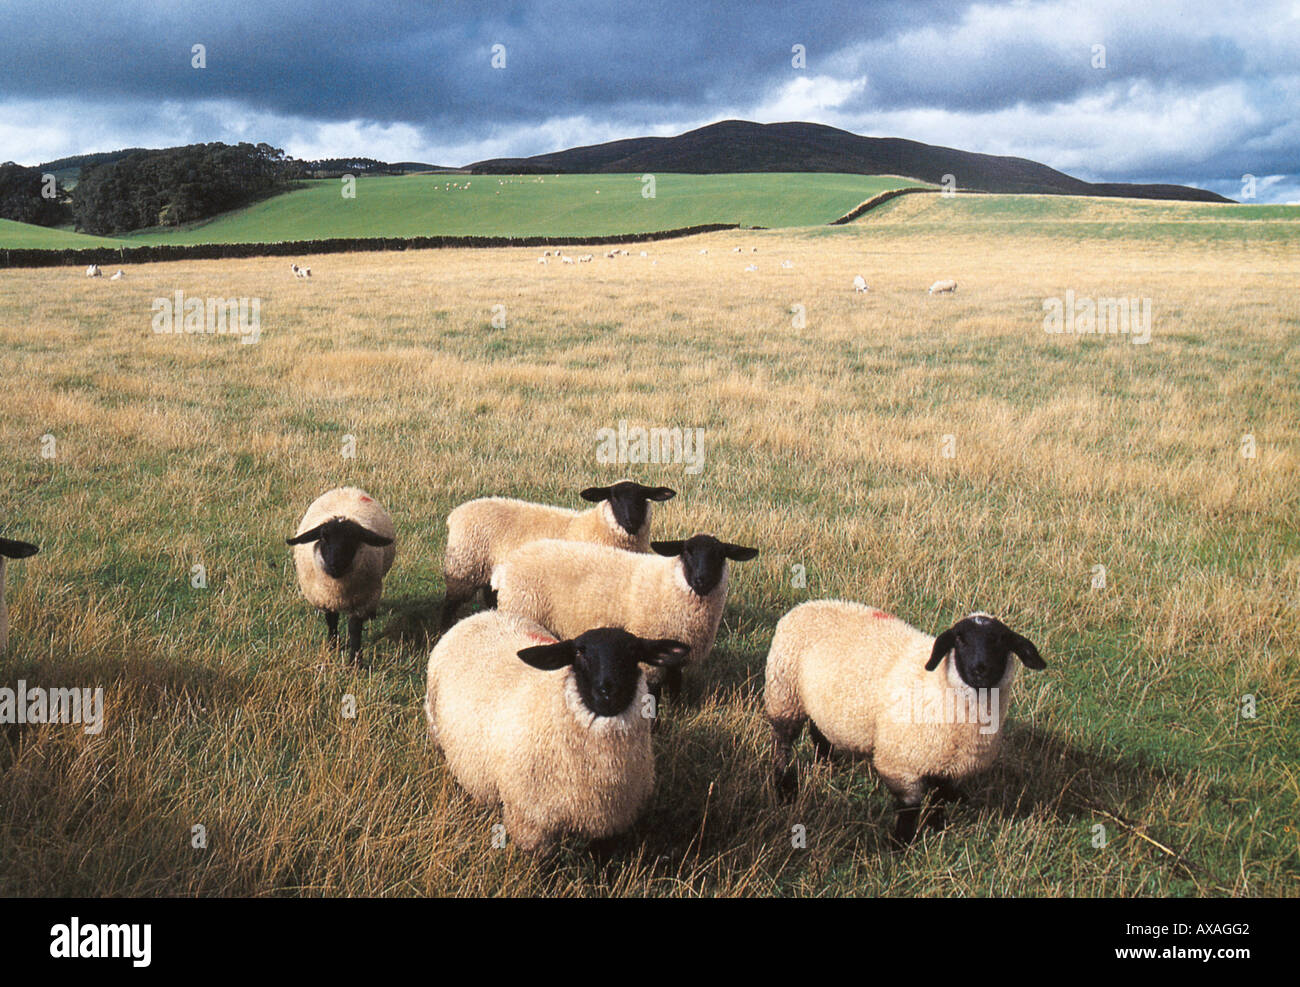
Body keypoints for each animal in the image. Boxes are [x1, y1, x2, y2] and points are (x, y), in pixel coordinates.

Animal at [287, 487, 396, 661]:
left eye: (354, 539)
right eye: (324, 537)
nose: (335, 565)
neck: (337, 588)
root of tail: (347, 488)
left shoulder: (361, 600)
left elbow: (354, 628)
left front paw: (355, 660)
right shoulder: (325, 599)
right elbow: (331, 620)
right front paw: (333, 646)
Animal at [424, 609, 689, 853]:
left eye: (634, 653)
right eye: (579, 652)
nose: (607, 691)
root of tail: (479, 615)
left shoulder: (609, 824)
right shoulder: (532, 822)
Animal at [439, 480, 676, 631]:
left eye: (643, 498)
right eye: (614, 497)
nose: (631, 522)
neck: (595, 526)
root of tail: (456, 513)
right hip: (464, 568)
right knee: (450, 604)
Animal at [492, 533, 758, 700]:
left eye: (720, 555)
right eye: (686, 552)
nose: (702, 580)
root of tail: (506, 566)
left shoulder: (678, 656)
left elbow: (676, 687)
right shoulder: (651, 656)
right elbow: (654, 694)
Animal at [765, 604, 1045, 844]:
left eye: (1001, 640)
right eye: (960, 639)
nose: (980, 669)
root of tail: (805, 605)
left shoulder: (950, 766)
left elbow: (939, 798)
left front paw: (937, 828)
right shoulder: (900, 763)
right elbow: (910, 807)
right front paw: (901, 844)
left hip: (820, 701)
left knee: (819, 731)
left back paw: (828, 764)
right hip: (785, 695)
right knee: (783, 743)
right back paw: (784, 788)